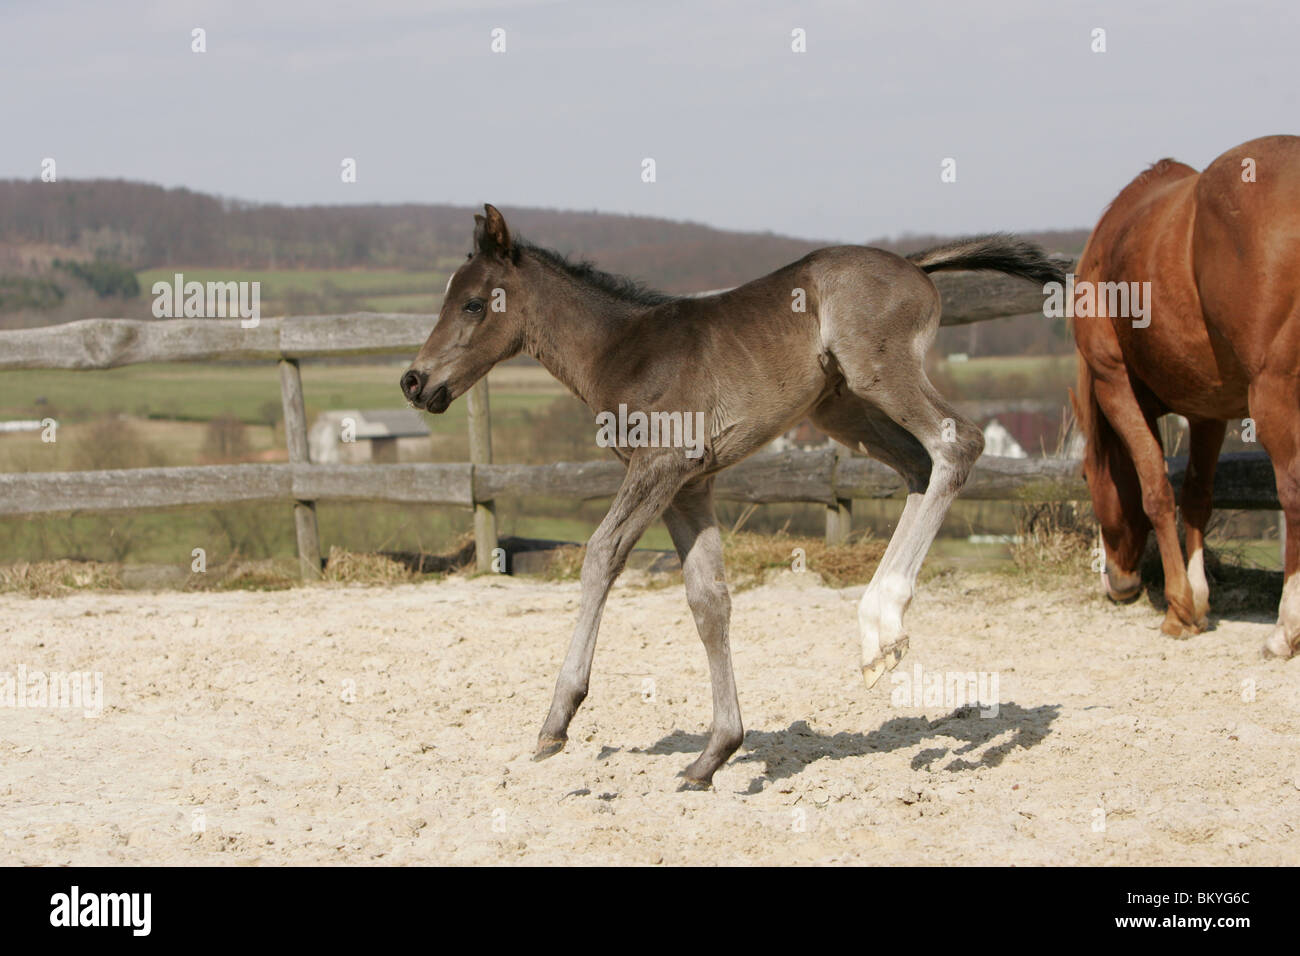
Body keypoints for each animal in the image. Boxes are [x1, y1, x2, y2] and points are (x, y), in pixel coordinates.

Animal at [403, 205, 1063, 787]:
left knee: (959, 444)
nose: (414, 381)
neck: (624, 349)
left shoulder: (663, 462)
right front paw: (714, 753)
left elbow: (601, 556)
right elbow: (708, 601)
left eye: (472, 303)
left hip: (878, 375)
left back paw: (891, 621)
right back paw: (879, 637)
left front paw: (557, 721)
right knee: (919, 469)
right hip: (841, 406)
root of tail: (911, 262)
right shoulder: (689, 485)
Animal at [1071, 134, 1300, 658]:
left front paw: (1179, 607)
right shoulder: (1208, 410)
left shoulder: (1114, 382)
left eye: (1087, 475)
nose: (1117, 583)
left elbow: (1156, 487)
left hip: (1274, 396)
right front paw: (1198, 596)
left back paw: (1286, 627)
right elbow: (1197, 495)